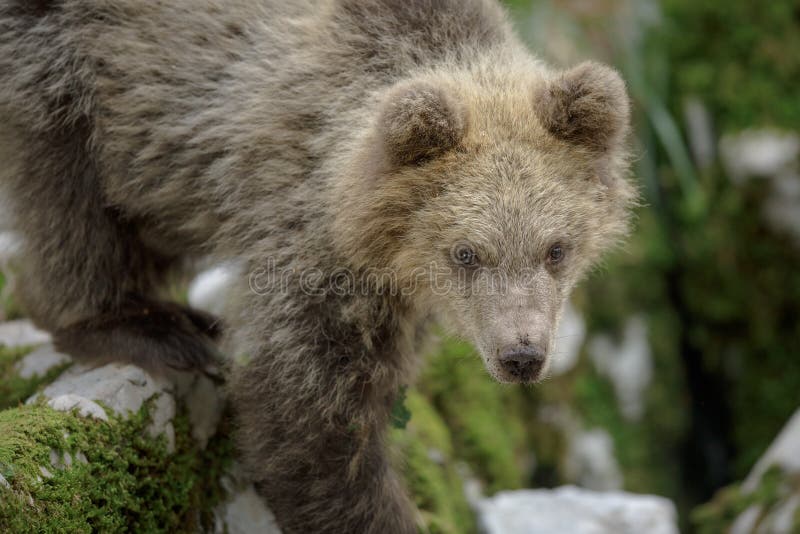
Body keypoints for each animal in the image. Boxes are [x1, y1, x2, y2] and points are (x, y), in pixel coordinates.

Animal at [0, 0, 636, 532]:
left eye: (556, 248)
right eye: (466, 252)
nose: (521, 355)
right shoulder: (308, 239)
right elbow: (308, 408)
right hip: (69, 63)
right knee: (71, 189)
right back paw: (145, 324)